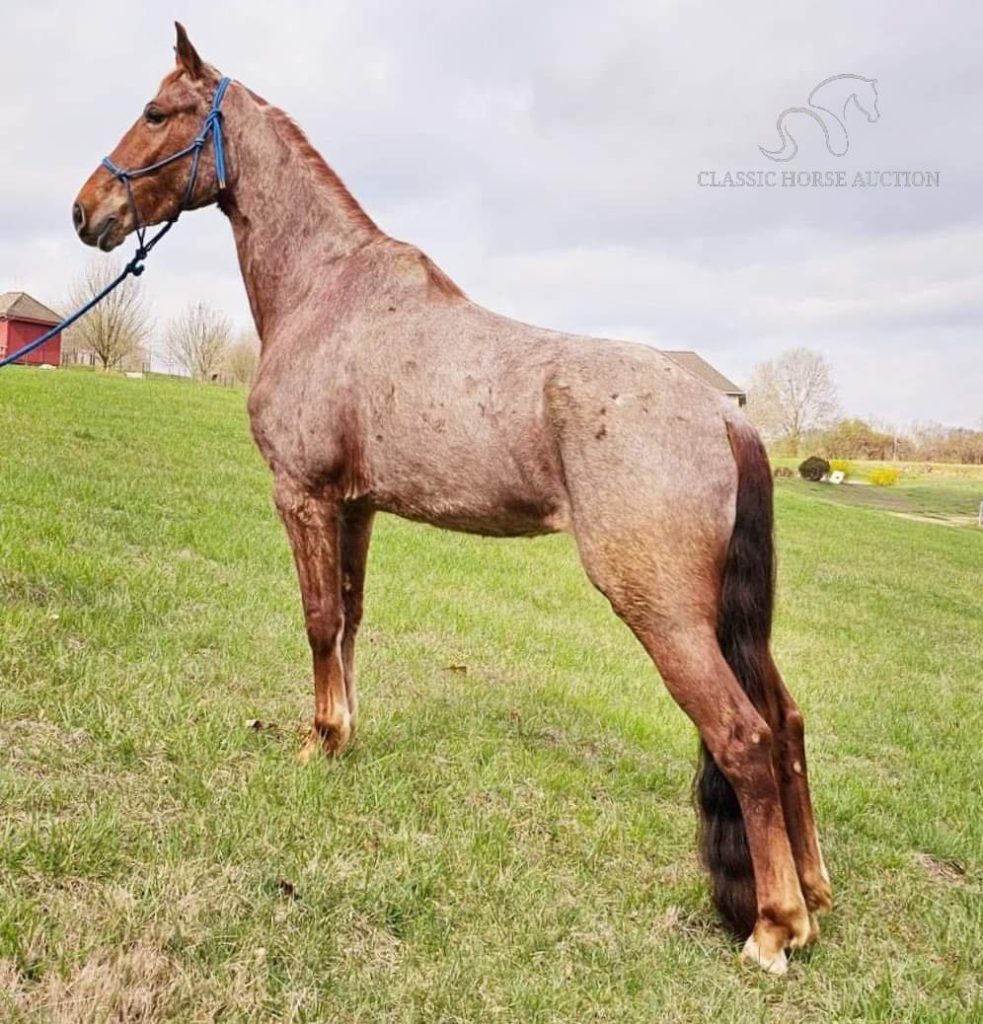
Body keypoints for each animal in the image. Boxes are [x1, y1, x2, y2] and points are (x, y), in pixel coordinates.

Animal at [72, 23, 831, 974]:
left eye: (155, 112)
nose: (86, 211)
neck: (329, 294)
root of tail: (723, 414)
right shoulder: (355, 507)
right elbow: (349, 620)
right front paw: (341, 735)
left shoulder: (303, 496)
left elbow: (317, 620)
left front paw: (313, 744)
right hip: (732, 620)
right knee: (788, 722)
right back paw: (813, 896)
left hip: (665, 612)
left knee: (746, 737)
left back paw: (773, 927)